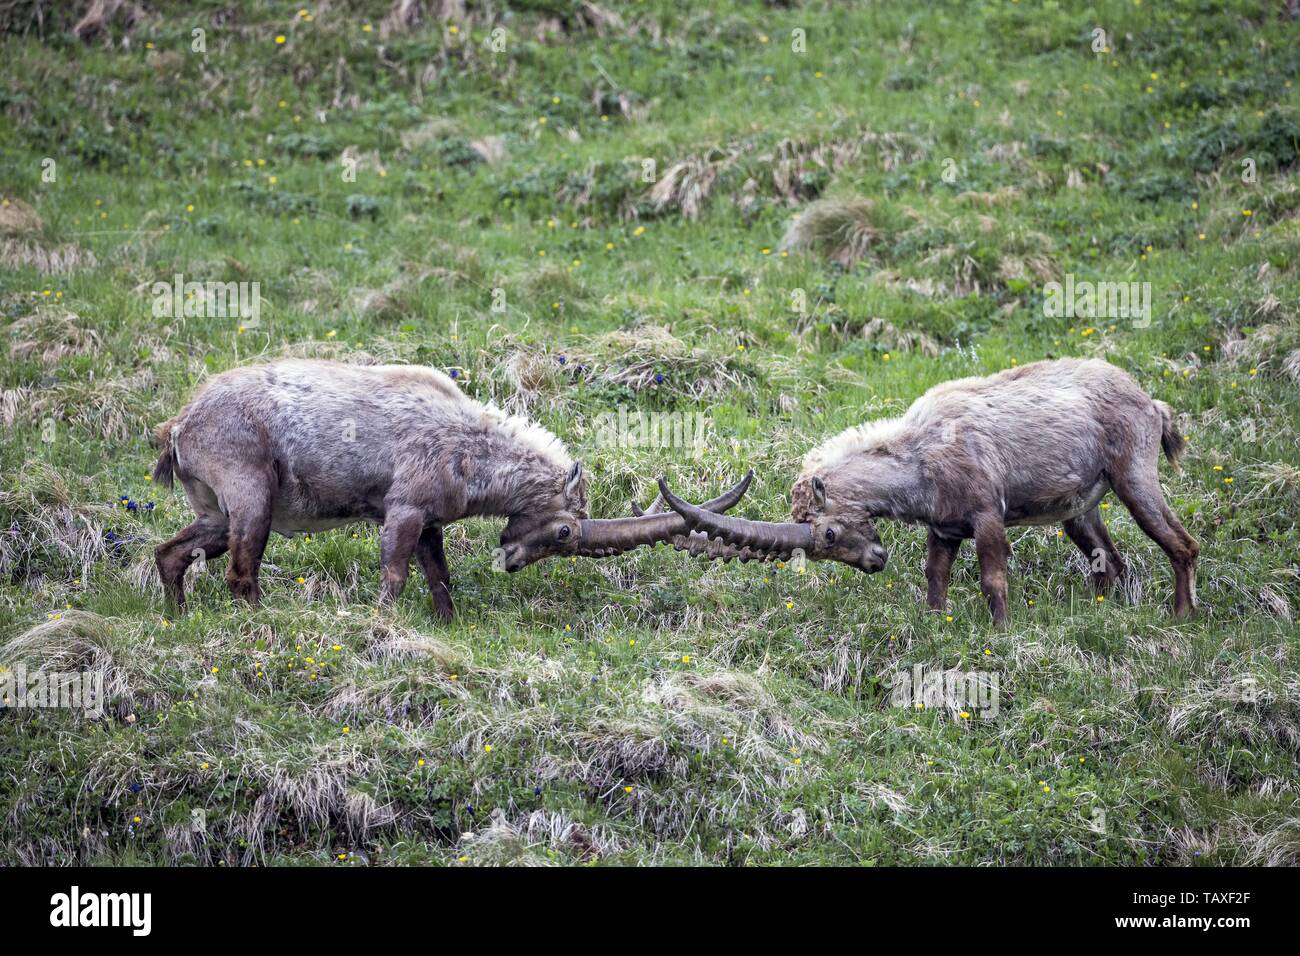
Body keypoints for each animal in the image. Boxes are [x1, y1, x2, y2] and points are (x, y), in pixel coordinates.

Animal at [150, 359, 750, 617]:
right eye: (564, 531)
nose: (512, 561)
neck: (469, 450)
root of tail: (179, 426)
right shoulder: (404, 508)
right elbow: (395, 576)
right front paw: (385, 624)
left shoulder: (430, 523)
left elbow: (439, 579)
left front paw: (447, 625)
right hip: (252, 492)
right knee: (240, 571)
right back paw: (261, 621)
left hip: (217, 510)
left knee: (171, 552)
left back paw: (178, 617)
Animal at [657, 358, 1199, 625]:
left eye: (827, 533)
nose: (875, 561)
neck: (918, 458)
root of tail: (1151, 403)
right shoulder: (945, 528)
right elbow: (935, 580)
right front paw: (937, 626)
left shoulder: (986, 514)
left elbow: (993, 580)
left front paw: (1001, 633)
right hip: (1080, 510)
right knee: (1110, 560)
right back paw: (1102, 613)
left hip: (1134, 477)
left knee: (1183, 545)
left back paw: (1182, 615)